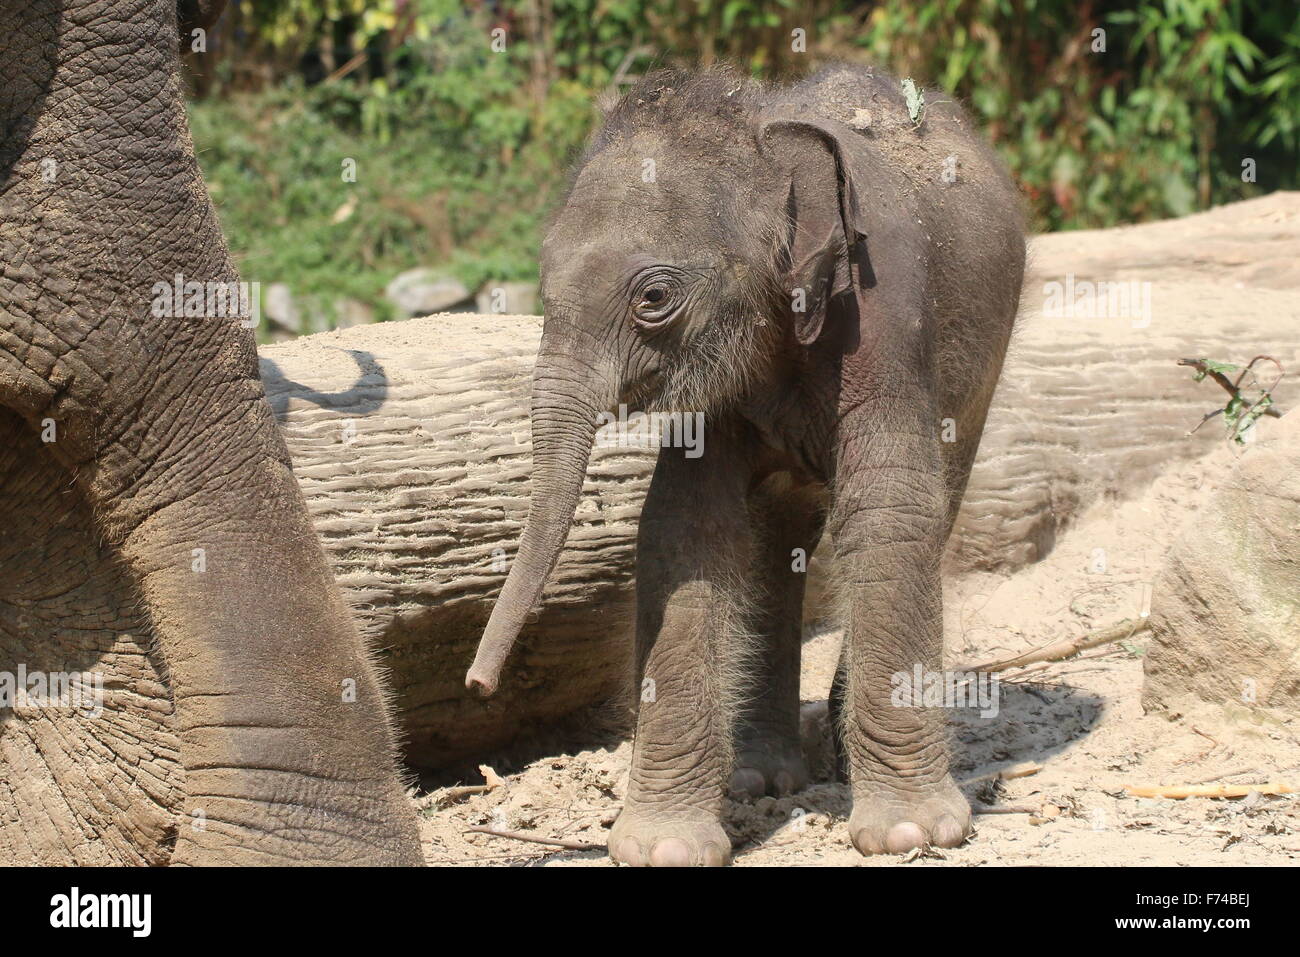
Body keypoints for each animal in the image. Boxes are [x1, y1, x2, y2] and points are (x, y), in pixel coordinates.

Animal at [467, 65, 1025, 865]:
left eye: (655, 297)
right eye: (545, 286)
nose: (479, 683)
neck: (763, 135)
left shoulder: (884, 315)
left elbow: (887, 512)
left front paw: (910, 834)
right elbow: (686, 529)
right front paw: (664, 847)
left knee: (932, 504)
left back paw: (834, 764)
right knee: (772, 539)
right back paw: (760, 778)